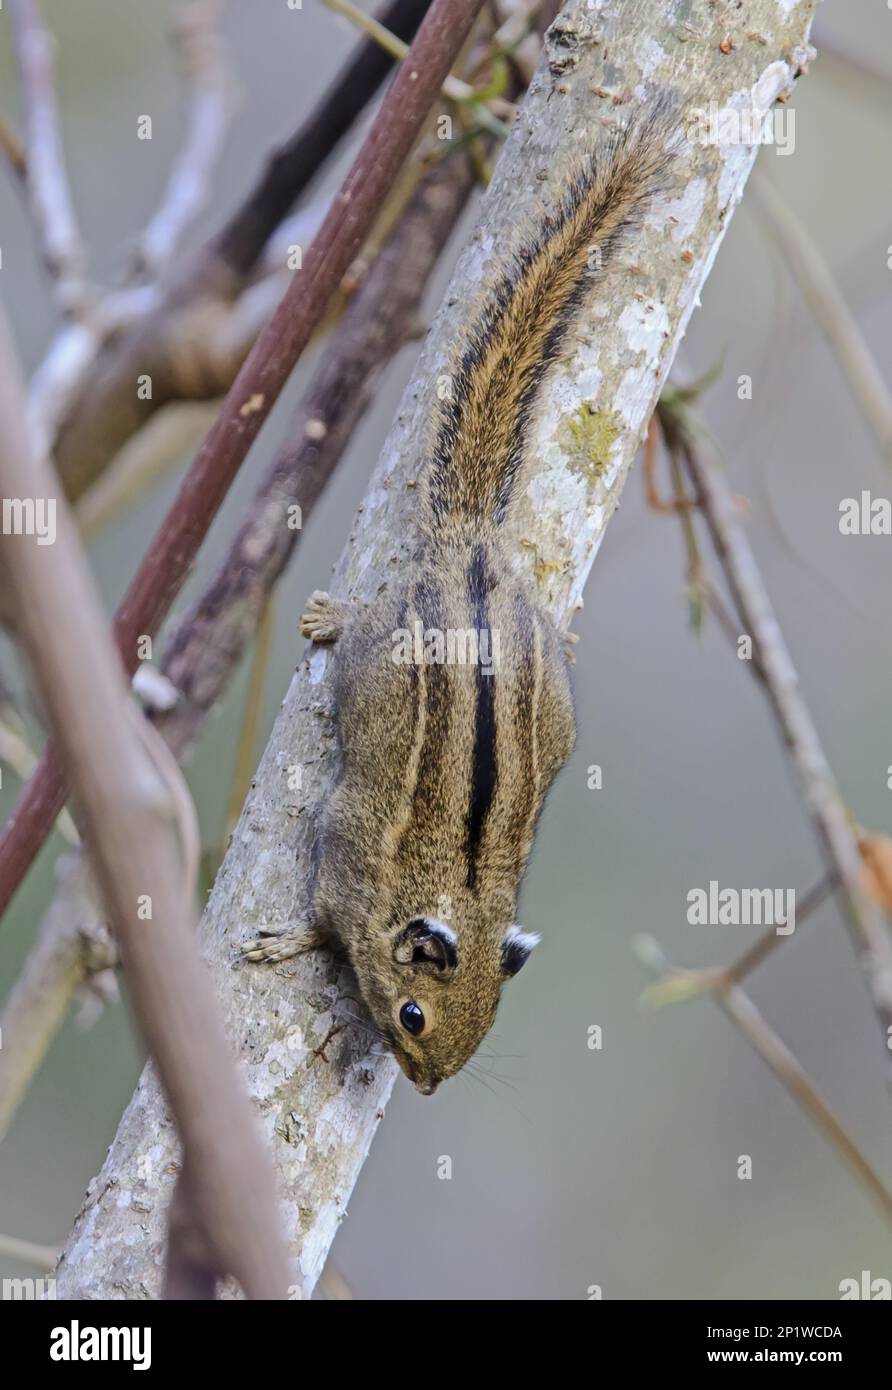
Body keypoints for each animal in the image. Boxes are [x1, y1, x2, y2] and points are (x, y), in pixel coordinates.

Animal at [244, 104, 676, 1094]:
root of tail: (471, 551)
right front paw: (288, 945)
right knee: (361, 625)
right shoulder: (347, 858)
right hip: (383, 643)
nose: (431, 1083)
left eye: (485, 1028)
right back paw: (330, 618)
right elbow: (321, 920)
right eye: (413, 1014)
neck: (455, 891)